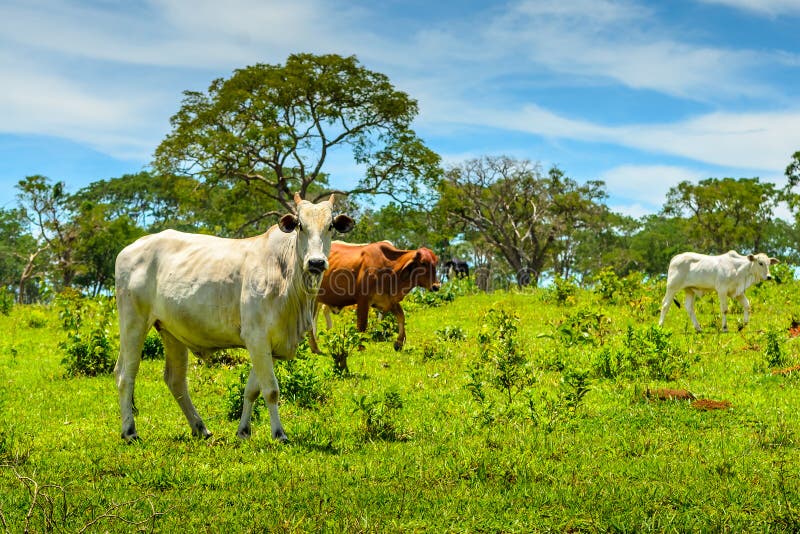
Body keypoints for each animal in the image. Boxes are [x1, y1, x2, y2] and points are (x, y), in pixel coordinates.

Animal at [113, 193, 354, 442]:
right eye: (300, 226)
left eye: (330, 226)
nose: (316, 262)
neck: (285, 273)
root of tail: (130, 249)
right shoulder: (256, 337)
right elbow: (271, 390)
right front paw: (279, 433)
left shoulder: (269, 345)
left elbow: (252, 390)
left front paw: (243, 431)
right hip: (133, 322)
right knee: (125, 375)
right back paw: (129, 431)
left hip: (171, 332)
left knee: (175, 380)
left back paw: (200, 427)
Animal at [309, 240, 440, 352]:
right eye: (423, 263)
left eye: (435, 263)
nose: (436, 286)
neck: (390, 269)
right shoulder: (363, 300)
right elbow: (362, 325)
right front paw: (360, 347)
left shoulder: (389, 300)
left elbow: (401, 317)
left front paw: (399, 342)